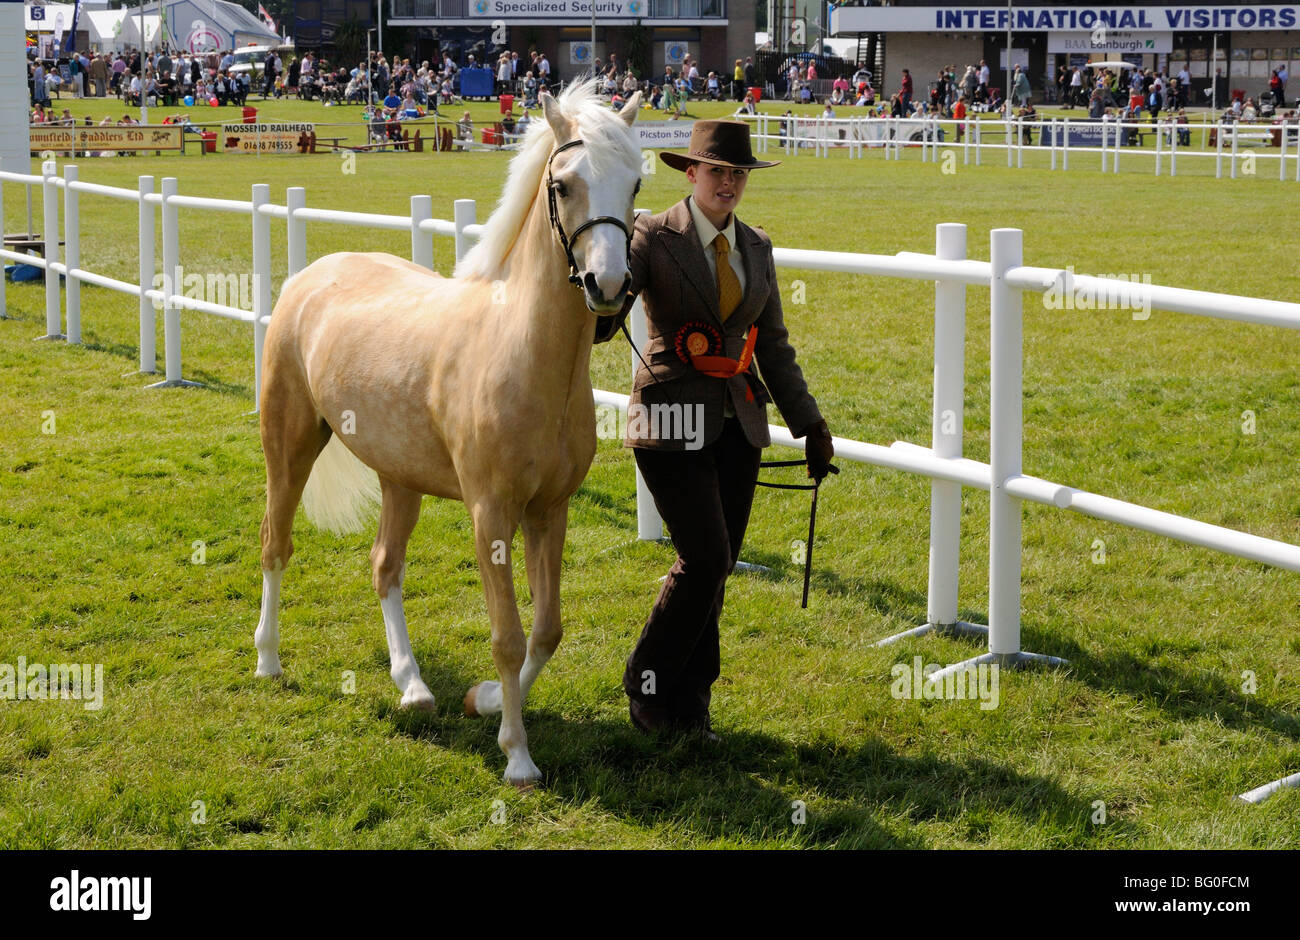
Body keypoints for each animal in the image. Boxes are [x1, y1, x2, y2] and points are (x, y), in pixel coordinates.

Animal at [253, 81, 644, 788]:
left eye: (633, 183)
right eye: (565, 184)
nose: (608, 285)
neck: (519, 352)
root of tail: (311, 275)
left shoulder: (550, 510)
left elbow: (546, 630)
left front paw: (484, 701)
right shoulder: (491, 514)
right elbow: (507, 635)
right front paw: (517, 755)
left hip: (399, 479)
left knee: (385, 566)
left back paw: (413, 687)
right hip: (289, 449)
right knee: (276, 543)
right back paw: (268, 661)